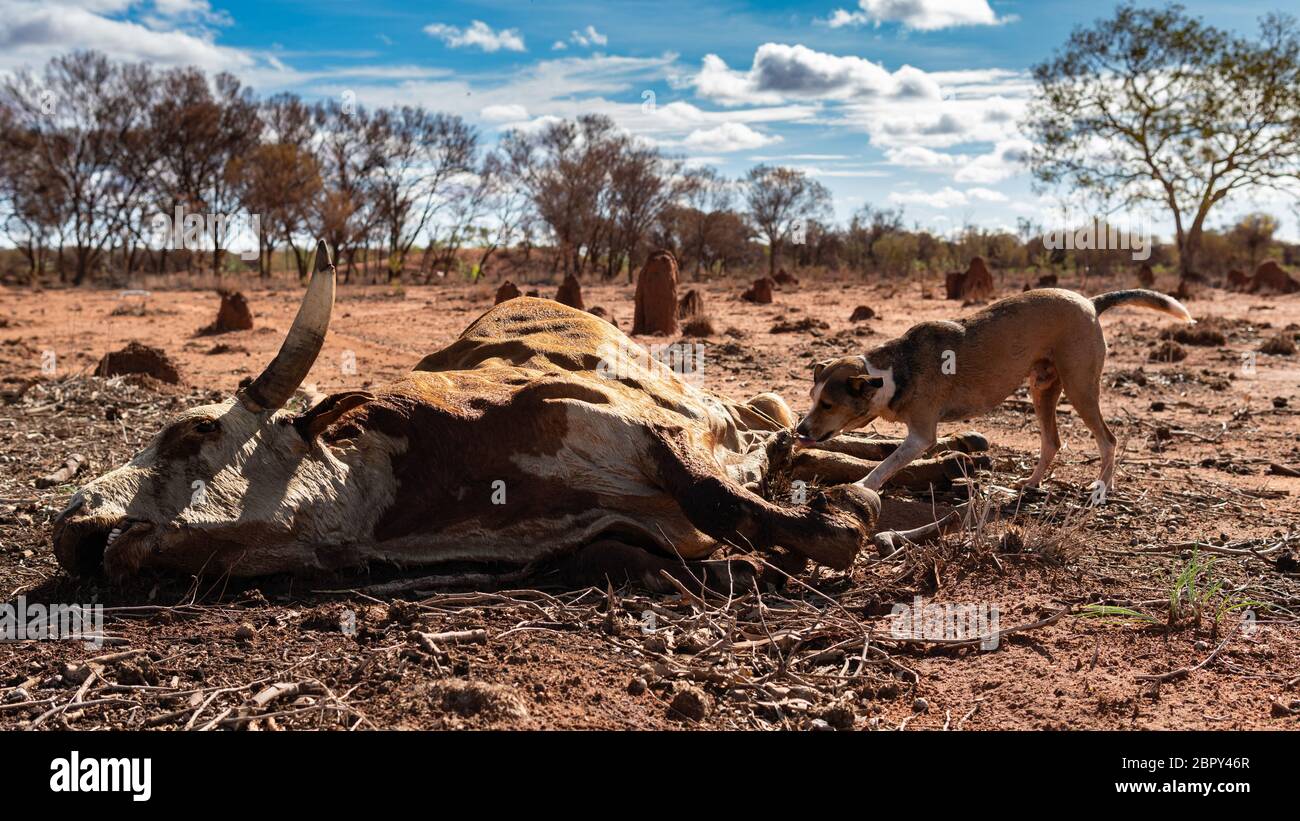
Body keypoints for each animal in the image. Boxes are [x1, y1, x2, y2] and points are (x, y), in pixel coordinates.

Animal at [52, 243, 986, 589]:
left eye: (196, 429)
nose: (69, 521)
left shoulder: (652, 430)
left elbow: (742, 502)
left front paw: (854, 513)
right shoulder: (611, 534)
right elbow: (716, 515)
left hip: (723, 402)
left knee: (789, 438)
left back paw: (946, 461)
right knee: (796, 448)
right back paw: (955, 459)